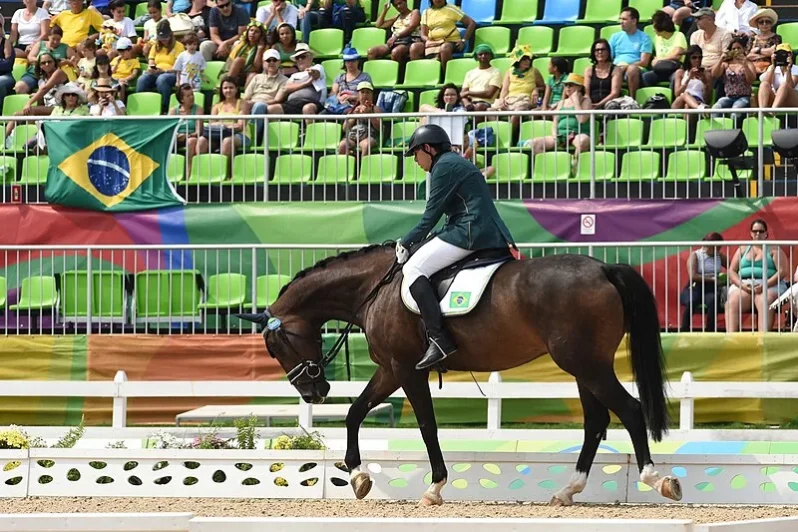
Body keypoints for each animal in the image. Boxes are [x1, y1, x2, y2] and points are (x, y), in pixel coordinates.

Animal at [238, 242, 682, 506]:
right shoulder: (390, 369)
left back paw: (657, 479)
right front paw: (358, 476)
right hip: (584, 367)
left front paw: (434, 487)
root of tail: (604, 268)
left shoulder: (405, 370)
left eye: (274, 347)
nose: (313, 391)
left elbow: (426, 426)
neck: (375, 289)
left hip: (586, 364)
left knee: (629, 410)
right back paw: (566, 491)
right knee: (596, 421)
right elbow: (355, 413)